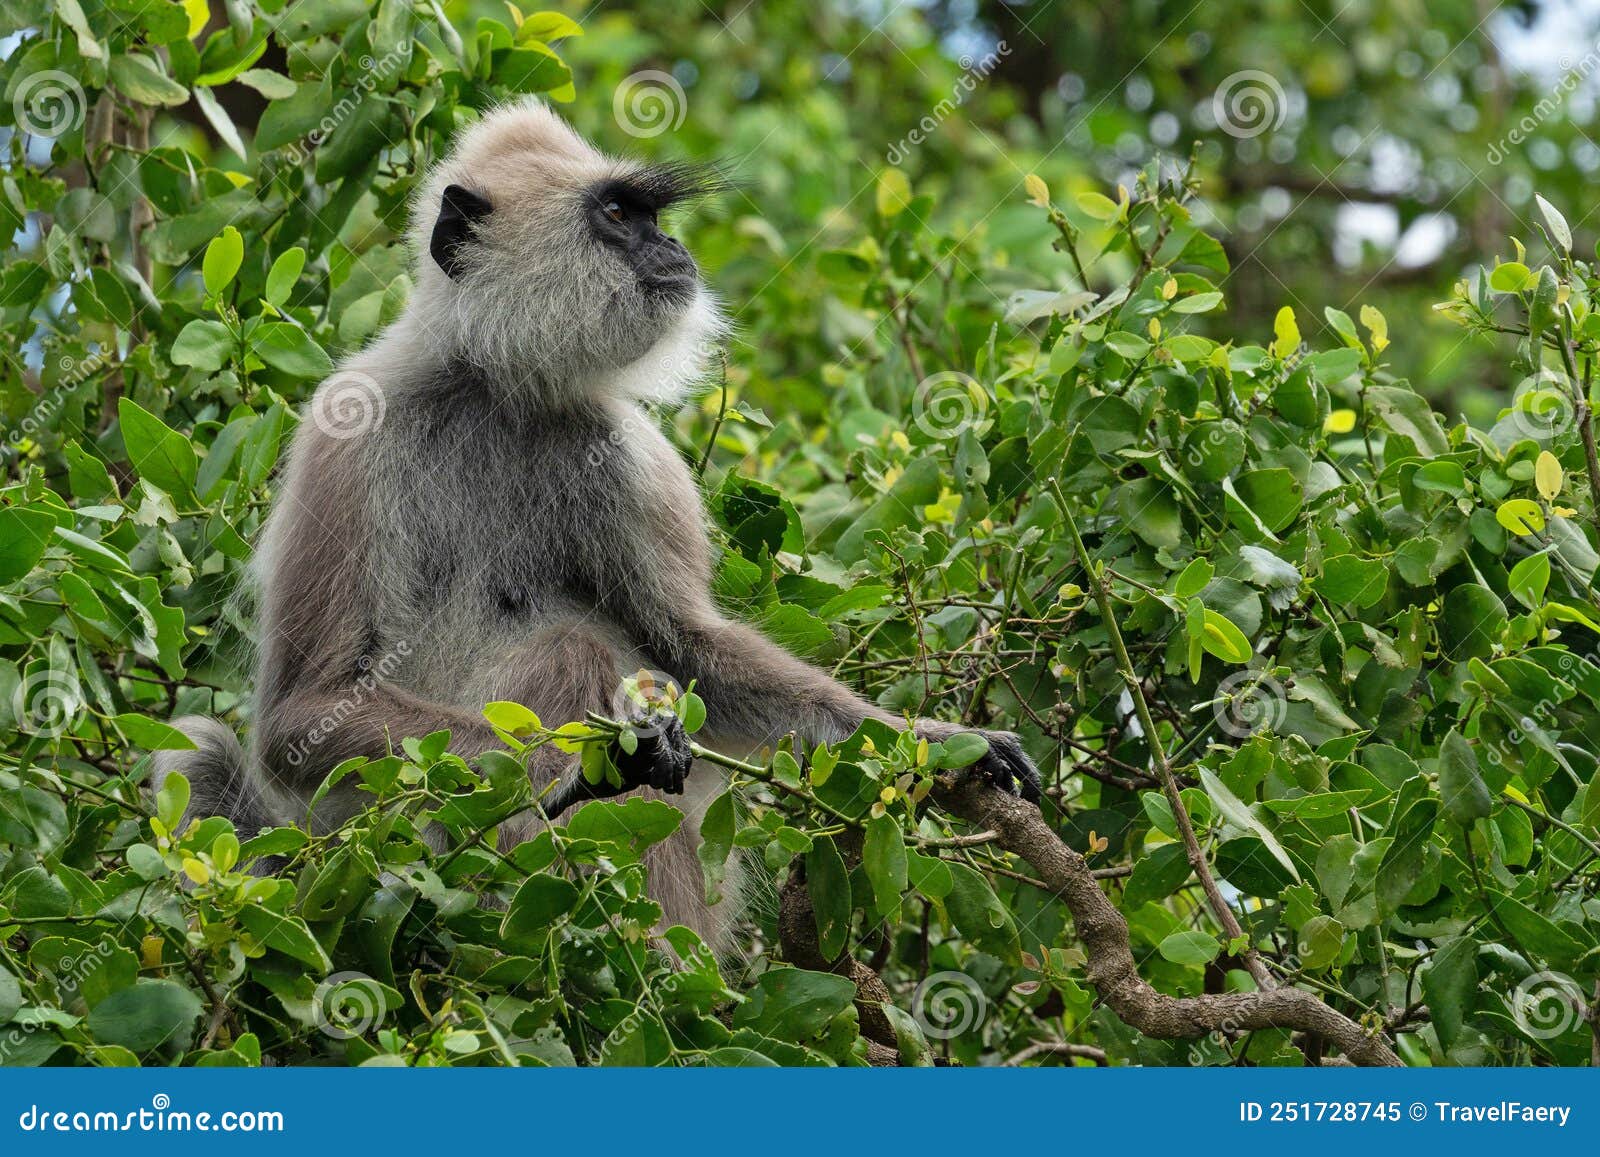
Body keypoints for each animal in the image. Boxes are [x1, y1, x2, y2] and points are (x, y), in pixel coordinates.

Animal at [155, 97, 1041, 949]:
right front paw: (606, 755)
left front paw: (935, 739)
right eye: (618, 214)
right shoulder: (346, 430)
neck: (499, 390)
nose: (672, 247)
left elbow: (695, 651)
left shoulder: (630, 458)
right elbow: (302, 714)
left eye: (648, 214)